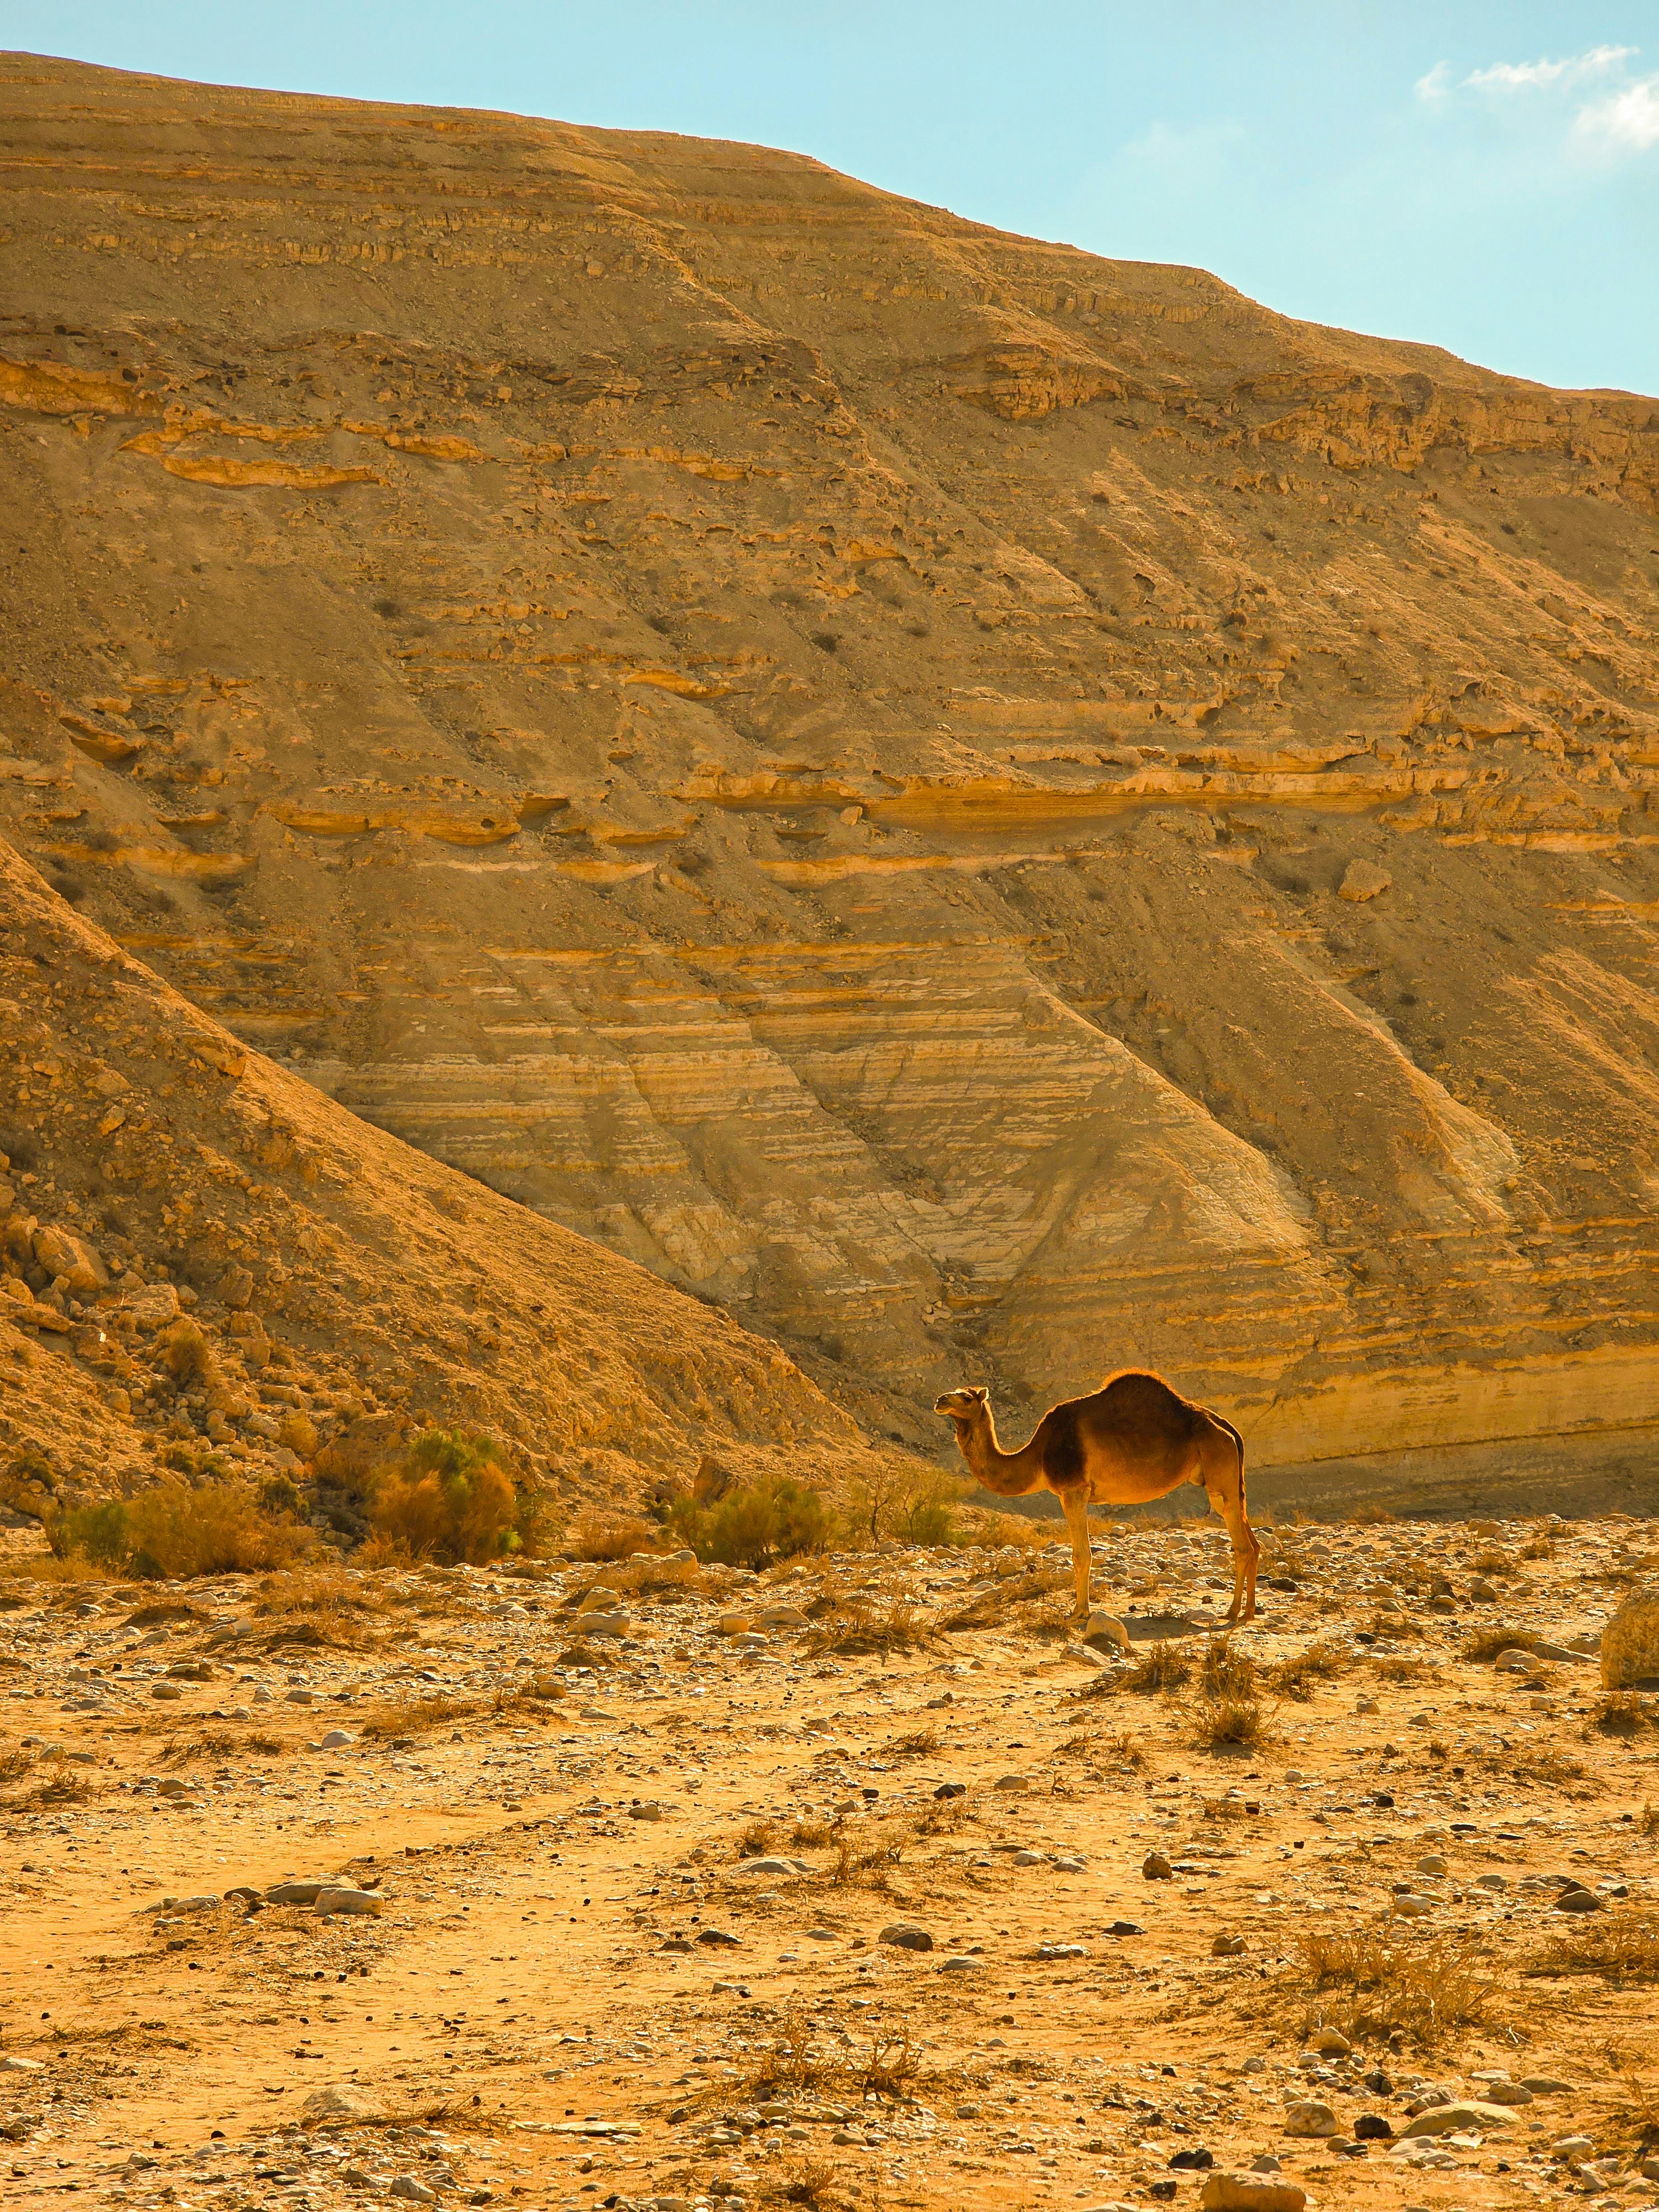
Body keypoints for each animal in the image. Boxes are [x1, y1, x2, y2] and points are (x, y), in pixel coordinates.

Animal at [934, 1369, 1259, 1627]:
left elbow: (1081, 1555)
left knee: (1242, 1544)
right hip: (1234, 1481)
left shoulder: (1073, 1490)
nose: (940, 1400)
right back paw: (1247, 1612)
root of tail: (1228, 1428)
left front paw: (1079, 1612)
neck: (1038, 1455)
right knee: (1253, 1543)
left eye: (966, 1398)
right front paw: (1081, 1609)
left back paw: (1234, 1613)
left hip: (1219, 1471)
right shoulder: (1072, 1493)